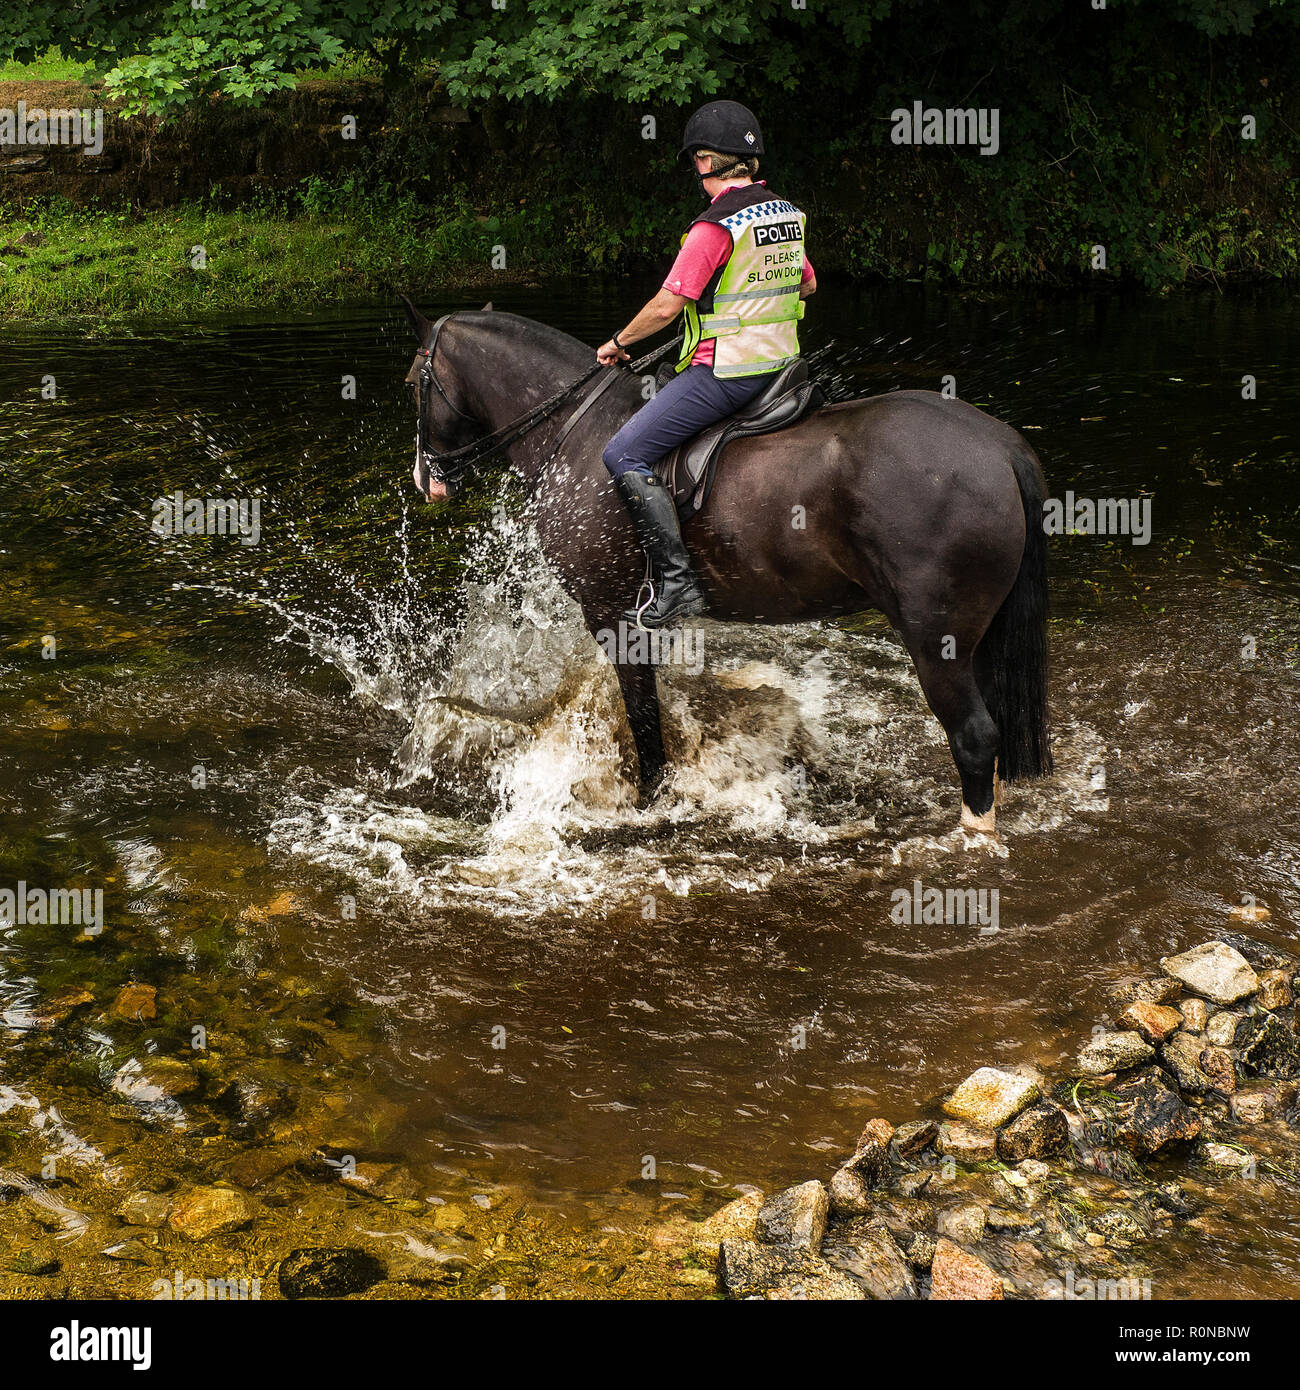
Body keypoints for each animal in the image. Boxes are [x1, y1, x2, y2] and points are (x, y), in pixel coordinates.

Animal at [399, 299, 1051, 833]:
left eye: (412, 384)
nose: (426, 479)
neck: (575, 429)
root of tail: (999, 447)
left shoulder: (612, 614)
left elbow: (644, 723)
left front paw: (650, 800)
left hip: (936, 640)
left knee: (974, 738)